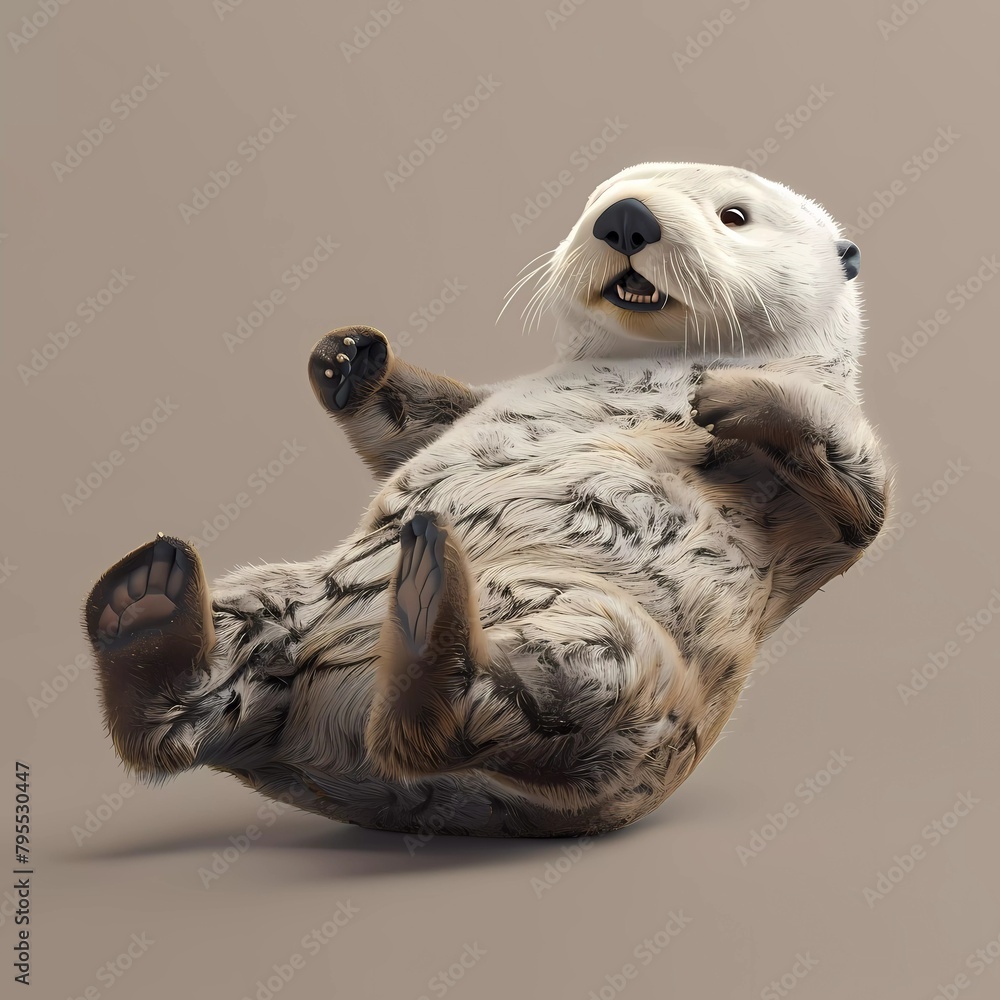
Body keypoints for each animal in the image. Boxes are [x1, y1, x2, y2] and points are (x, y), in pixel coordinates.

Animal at [82, 162, 888, 838]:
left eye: (735, 215)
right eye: (599, 196)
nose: (625, 217)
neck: (653, 357)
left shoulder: (802, 510)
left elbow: (860, 490)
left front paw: (731, 393)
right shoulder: (476, 400)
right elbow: (418, 420)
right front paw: (348, 357)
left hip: (603, 653)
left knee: (478, 728)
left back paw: (425, 605)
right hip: (275, 600)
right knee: (178, 723)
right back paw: (146, 606)